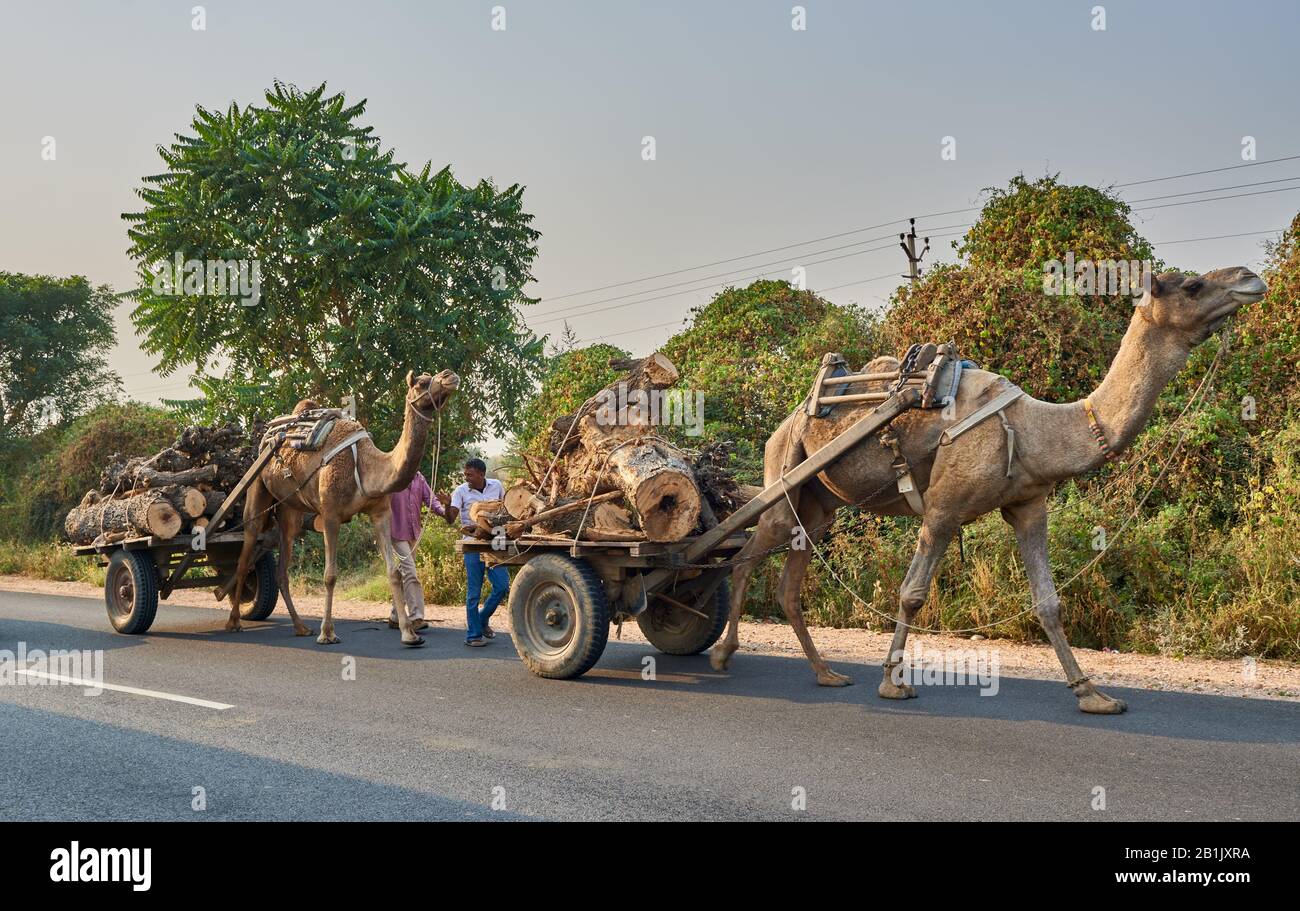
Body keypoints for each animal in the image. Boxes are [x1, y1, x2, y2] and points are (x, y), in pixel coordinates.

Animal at [227, 369, 460, 647]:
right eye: (423, 383)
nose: (449, 376)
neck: (368, 465)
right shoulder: (330, 514)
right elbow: (330, 575)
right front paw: (327, 633)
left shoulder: (380, 512)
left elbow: (394, 572)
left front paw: (409, 634)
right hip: (257, 484)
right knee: (245, 552)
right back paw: (234, 622)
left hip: (290, 510)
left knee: (283, 565)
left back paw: (300, 627)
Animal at [711, 266, 1268, 713]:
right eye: (1192, 285)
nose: (1249, 278)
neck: (1034, 428)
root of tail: (783, 424)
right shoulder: (943, 508)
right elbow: (912, 594)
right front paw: (893, 683)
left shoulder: (1028, 505)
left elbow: (1048, 602)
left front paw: (1093, 694)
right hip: (783, 475)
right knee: (743, 554)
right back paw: (721, 653)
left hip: (818, 505)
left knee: (788, 581)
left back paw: (826, 672)